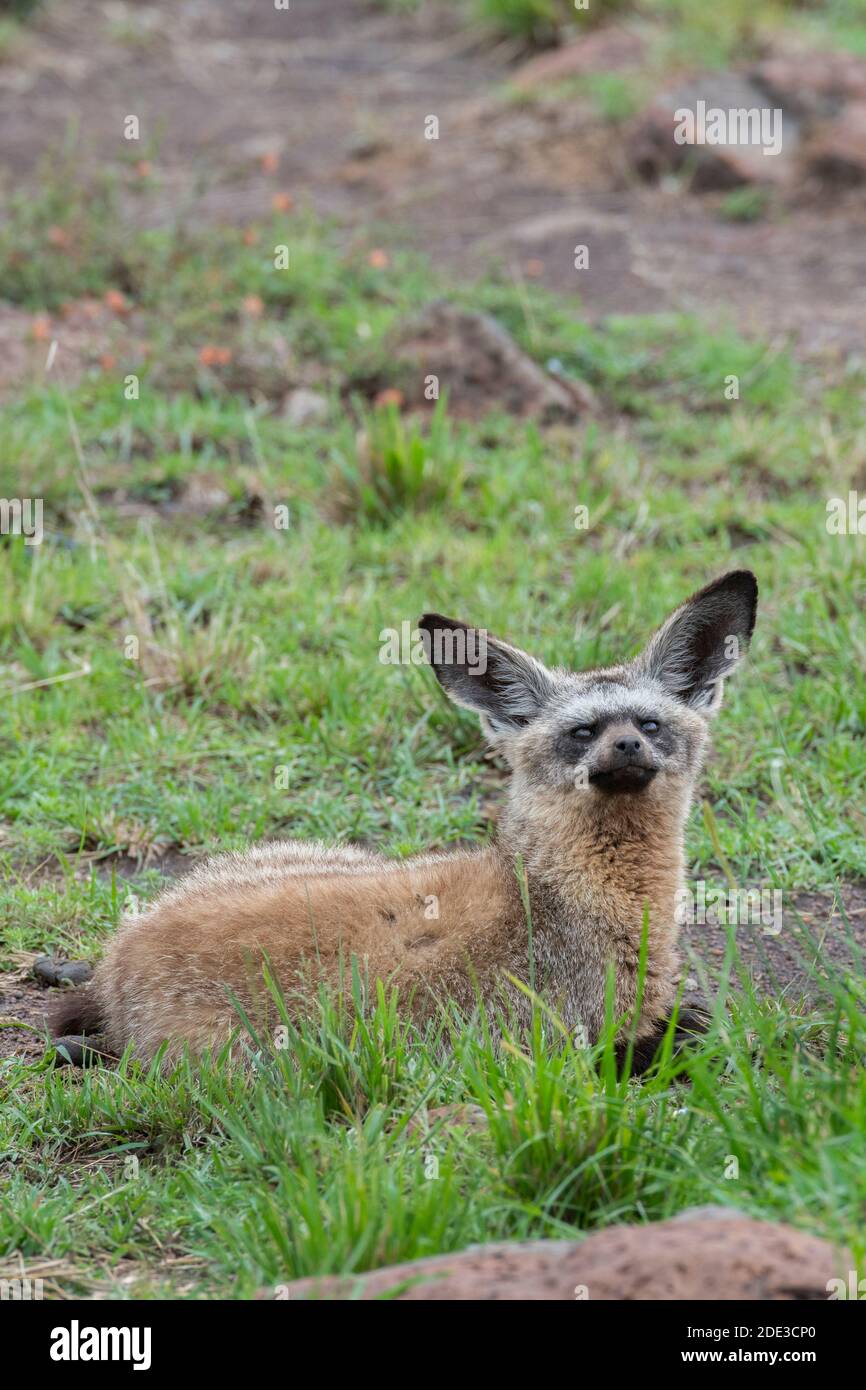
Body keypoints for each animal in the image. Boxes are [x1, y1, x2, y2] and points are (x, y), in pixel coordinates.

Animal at [51, 570, 757, 1070]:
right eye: (582, 731)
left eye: (650, 723)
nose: (628, 747)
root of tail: (118, 972)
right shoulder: (543, 1044)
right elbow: (675, 1039)